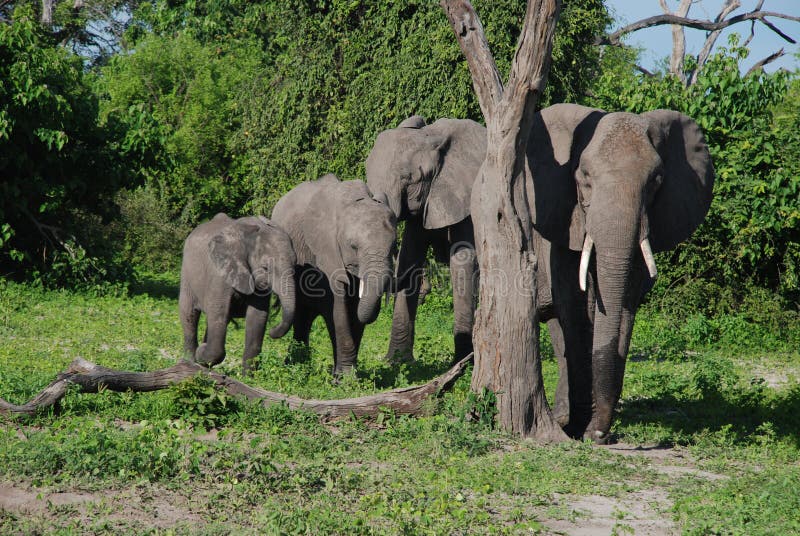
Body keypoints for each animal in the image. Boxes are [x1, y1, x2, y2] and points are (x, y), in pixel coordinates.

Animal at [179, 213, 297, 375]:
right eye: (265, 268)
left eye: (295, 264)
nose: (272, 331)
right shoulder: (219, 274)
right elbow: (218, 312)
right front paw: (201, 353)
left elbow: (258, 317)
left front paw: (249, 377)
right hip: (187, 275)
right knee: (189, 314)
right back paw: (191, 362)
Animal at [270, 174, 396, 376]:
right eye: (353, 246)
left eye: (394, 246)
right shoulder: (326, 250)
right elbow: (337, 308)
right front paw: (344, 377)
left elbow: (356, 312)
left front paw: (349, 376)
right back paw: (297, 366)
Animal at [365, 116, 486, 363]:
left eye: (410, 180)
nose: (426, 287)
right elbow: (410, 256)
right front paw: (397, 361)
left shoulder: (465, 197)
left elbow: (463, 261)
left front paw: (462, 362)